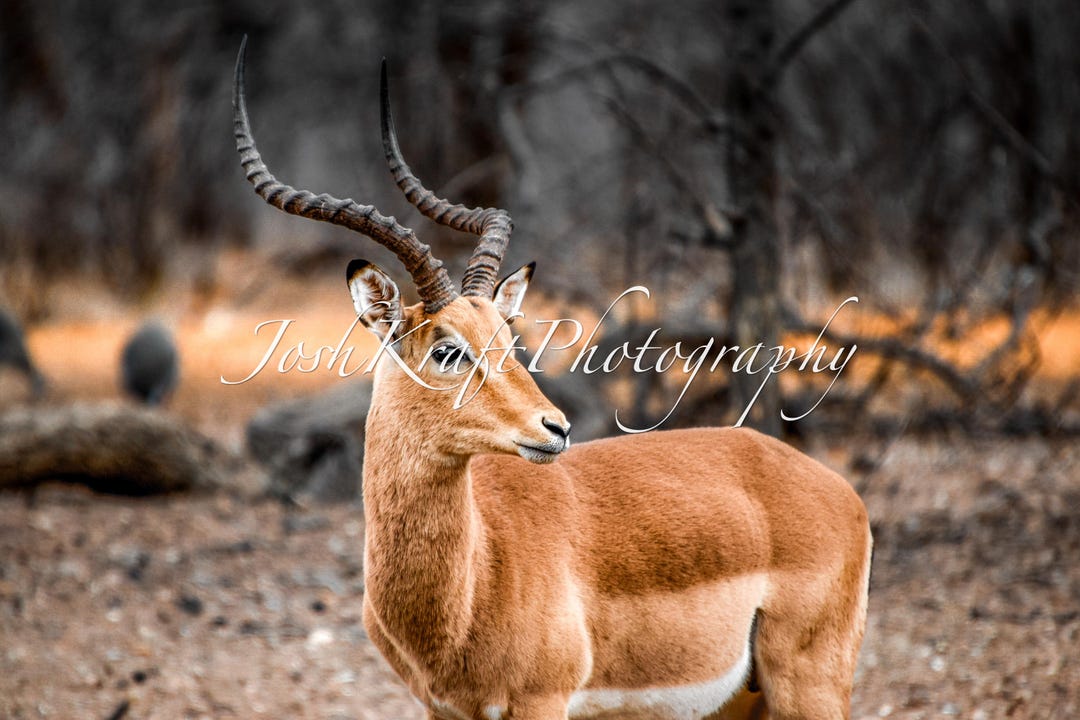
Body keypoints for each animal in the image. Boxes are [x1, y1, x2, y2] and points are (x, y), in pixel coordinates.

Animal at [233, 39, 872, 720]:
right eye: (448, 349)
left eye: (509, 337)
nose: (556, 428)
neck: (475, 575)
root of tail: (841, 493)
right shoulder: (441, 709)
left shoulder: (542, 700)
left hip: (809, 683)